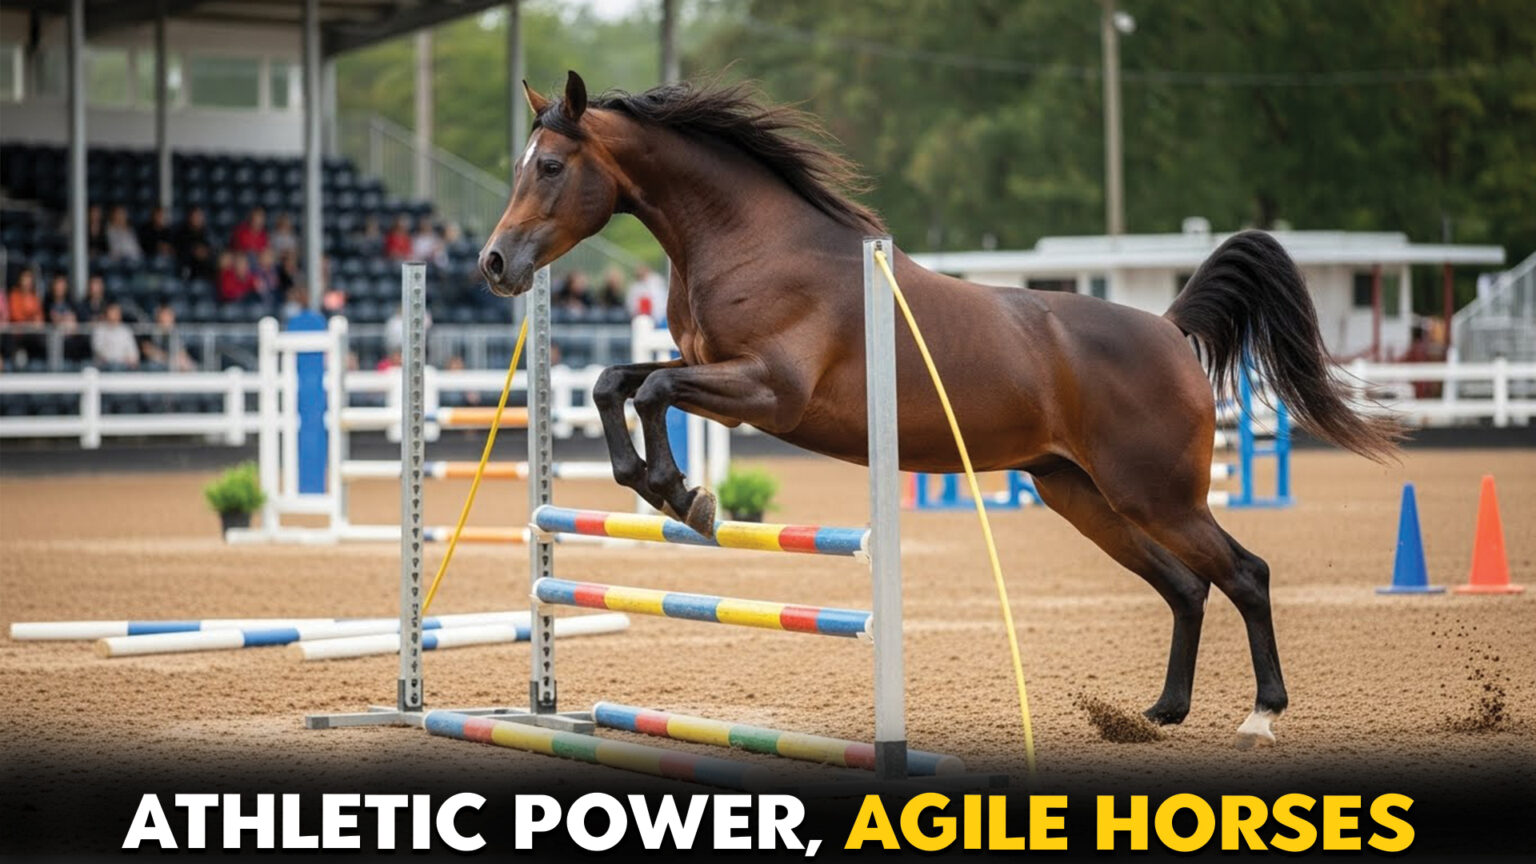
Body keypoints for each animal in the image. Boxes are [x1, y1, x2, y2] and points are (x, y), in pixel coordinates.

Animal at [476, 71, 1400, 749]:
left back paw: (1261, 715)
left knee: (1244, 574)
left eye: (549, 167)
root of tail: (1169, 329)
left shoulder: (768, 392)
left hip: (1159, 497)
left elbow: (653, 391)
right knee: (1185, 585)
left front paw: (684, 495)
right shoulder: (716, 372)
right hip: (1082, 495)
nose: (494, 264)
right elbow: (615, 382)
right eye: (522, 165)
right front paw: (656, 485)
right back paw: (1159, 713)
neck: (756, 241)